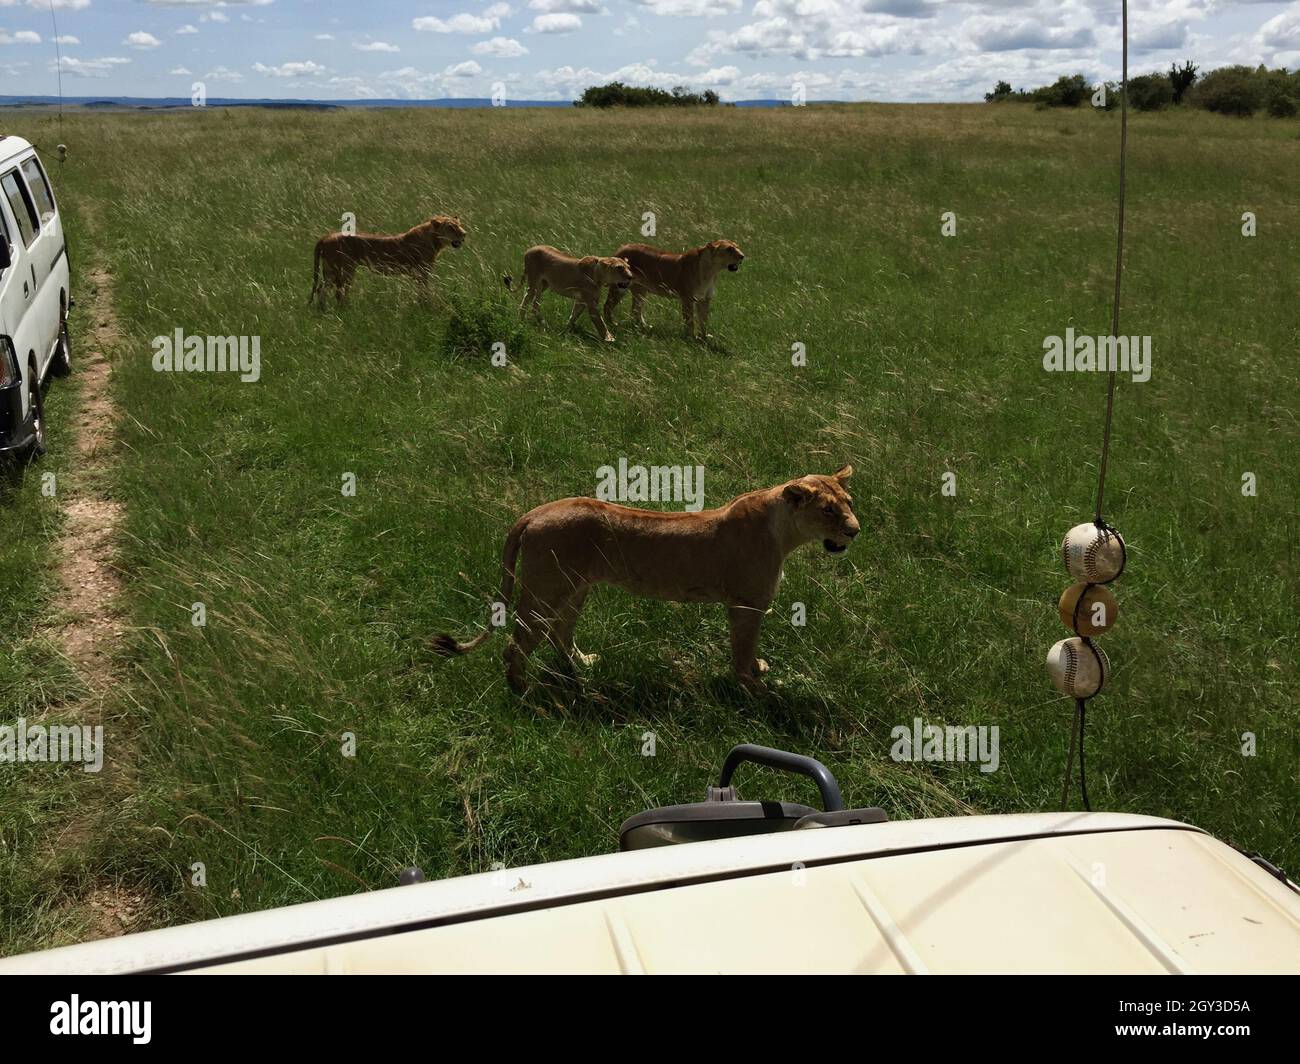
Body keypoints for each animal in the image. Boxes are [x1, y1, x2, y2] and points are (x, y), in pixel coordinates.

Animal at [309, 215, 467, 306]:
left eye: (459, 225)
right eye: (451, 227)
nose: (464, 234)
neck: (435, 240)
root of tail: (326, 237)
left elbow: (421, 291)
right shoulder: (422, 272)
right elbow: (424, 291)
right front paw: (425, 306)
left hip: (330, 270)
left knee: (322, 290)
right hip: (345, 269)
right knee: (337, 292)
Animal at [433, 465, 859, 693]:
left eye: (850, 504)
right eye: (828, 510)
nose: (855, 531)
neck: (784, 532)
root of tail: (534, 513)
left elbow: (747, 649)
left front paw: (757, 672)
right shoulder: (746, 603)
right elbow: (742, 648)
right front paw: (753, 688)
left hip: (576, 589)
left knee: (560, 632)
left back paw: (581, 664)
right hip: (544, 591)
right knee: (516, 644)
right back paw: (524, 690)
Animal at [503, 246, 635, 342]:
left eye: (628, 267)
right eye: (619, 268)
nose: (631, 277)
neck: (599, 275)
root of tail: (529, 249)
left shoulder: (581, 301)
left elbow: (573, 316)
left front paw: (565, 331)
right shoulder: (591, 303)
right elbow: (600, 322)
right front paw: (610, 339)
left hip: (543, 284)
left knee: (534, 305)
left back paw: (542, 324)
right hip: (534, 282)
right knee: (527, 299)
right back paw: (522, 321)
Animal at [603, 239, 745, 340]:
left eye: (737, 247)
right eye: (729, 249)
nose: (742, 256)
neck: (711, 271)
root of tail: (621, 248)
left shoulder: (704, 299)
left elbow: (703, 320)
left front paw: (704, 337)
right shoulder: (687, 298)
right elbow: (690, 321)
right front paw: (691, 338)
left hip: (641, 291)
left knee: (635, 310)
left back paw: (644, 327)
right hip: (620, 287)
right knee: (608, 305)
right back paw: (612, 324)